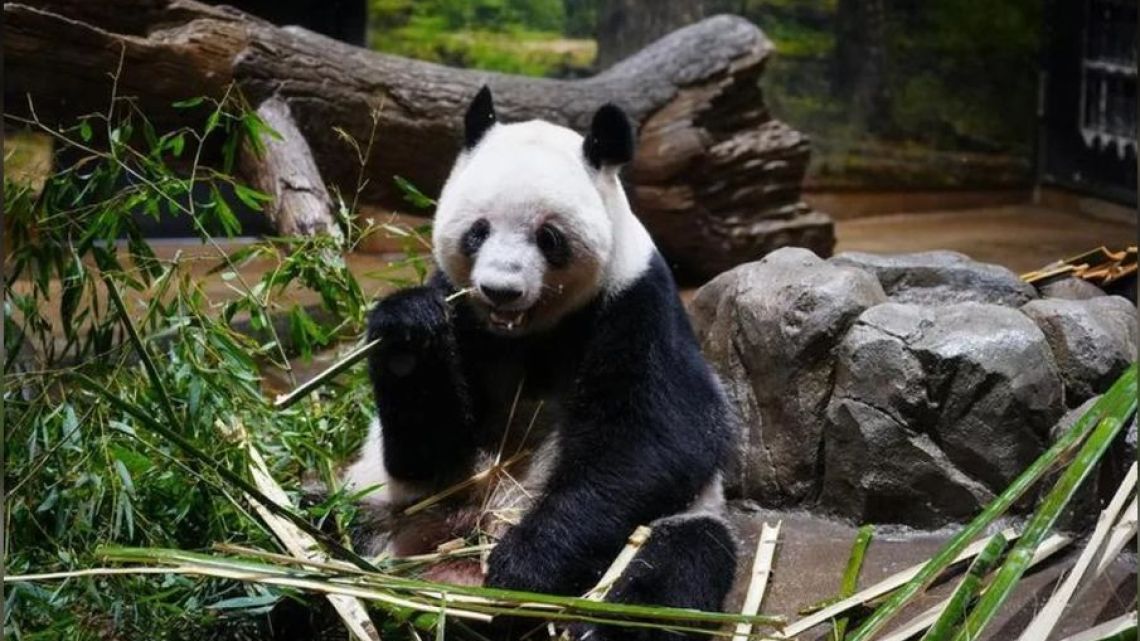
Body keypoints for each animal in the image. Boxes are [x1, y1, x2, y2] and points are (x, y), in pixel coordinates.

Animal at [341, 86, 738, 640]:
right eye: (477, 231)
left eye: (548, 237)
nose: (500, 290)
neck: (527, 333)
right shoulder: (462, 315)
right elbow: (427, 451)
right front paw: (406, 331)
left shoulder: (636, 303)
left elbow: (659, 437)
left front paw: (524, 566)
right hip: (383, 507)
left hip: (674, 523)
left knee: (675, 566)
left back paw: (601, 625)